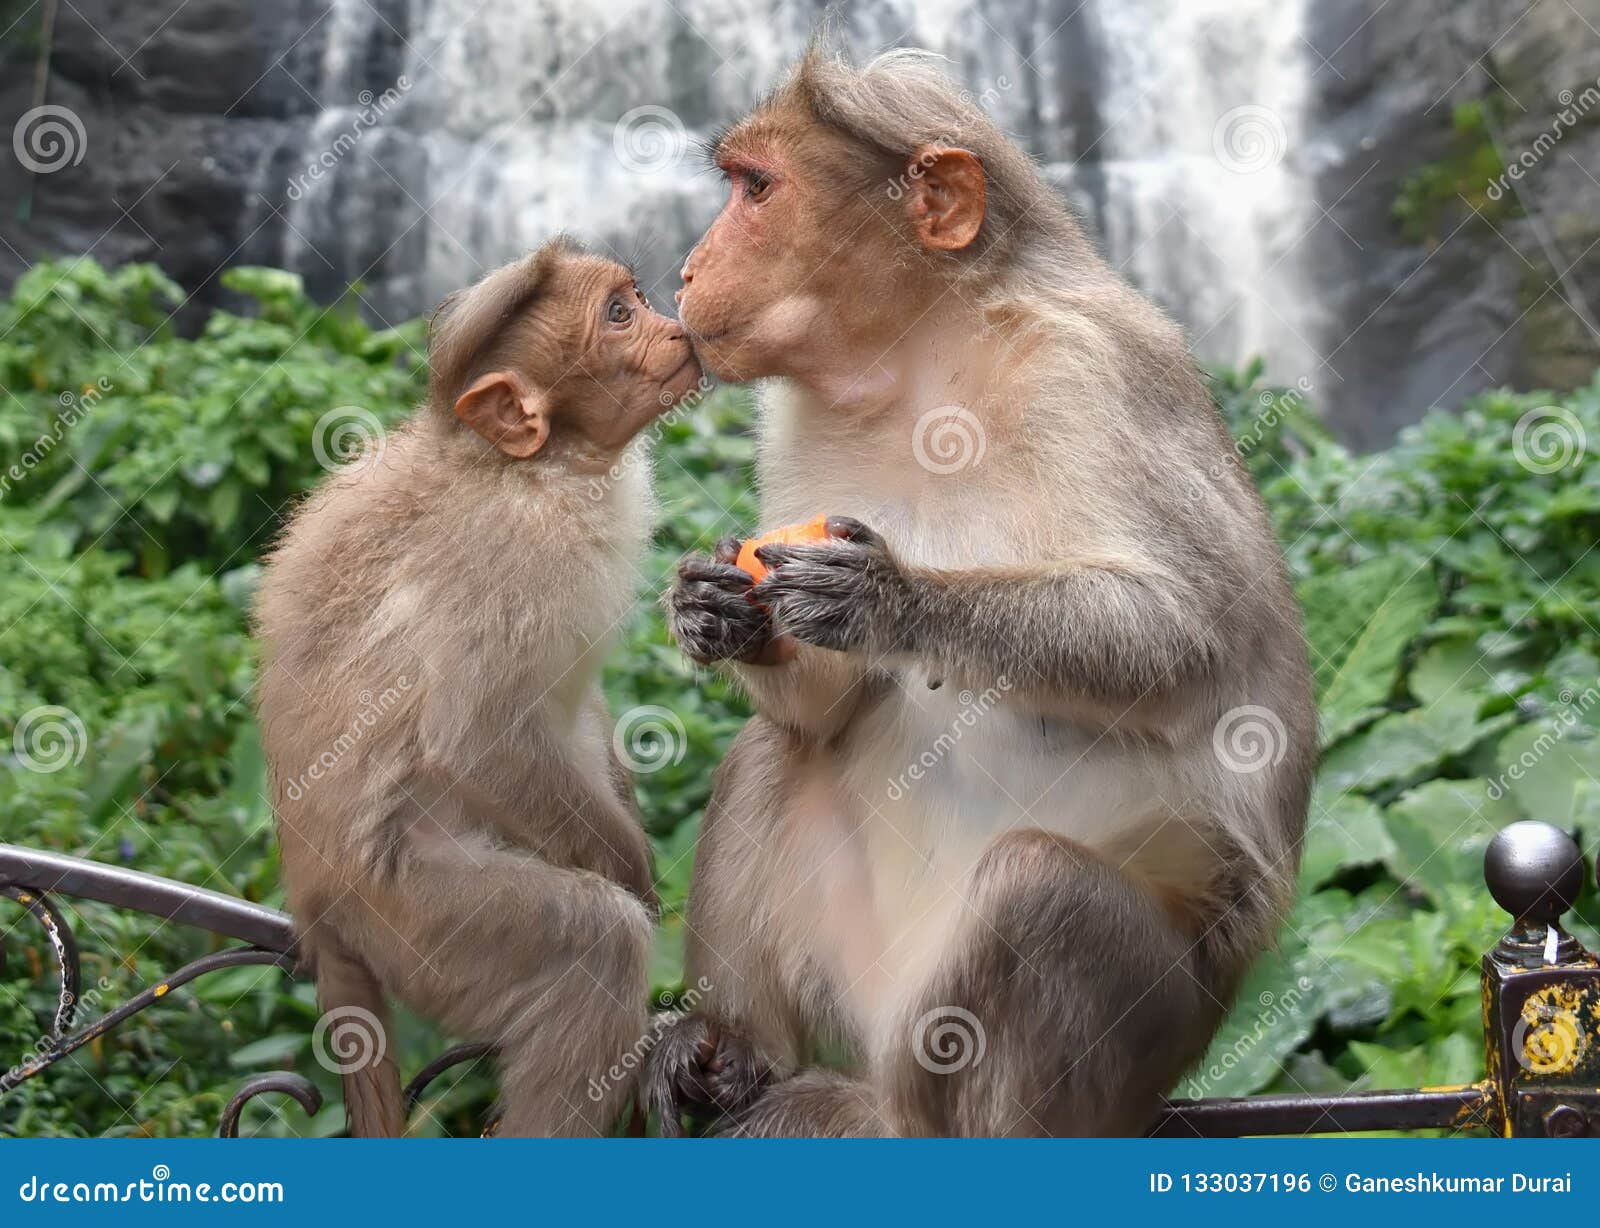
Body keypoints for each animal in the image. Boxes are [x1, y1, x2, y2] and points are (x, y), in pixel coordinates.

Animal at [254, 237, 702, 1137]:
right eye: (619, 317)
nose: (675, 326)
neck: (530, 468)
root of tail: (318, 912)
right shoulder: (509, 557)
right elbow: (479, 733)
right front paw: (632, 875)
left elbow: (576, 712)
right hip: (417, 917)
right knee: (592, 944)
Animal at [645, 46, 1316, 1137]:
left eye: (756, 190)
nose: (687, 271)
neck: (924, 356)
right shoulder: (793, 417)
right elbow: (824, 704)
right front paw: (713, 609)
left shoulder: (1095, 368)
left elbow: (1184, 635)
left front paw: (894, 600)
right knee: (771, 752)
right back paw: (730, 1051)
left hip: (1142, 1033)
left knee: (1038, 895)